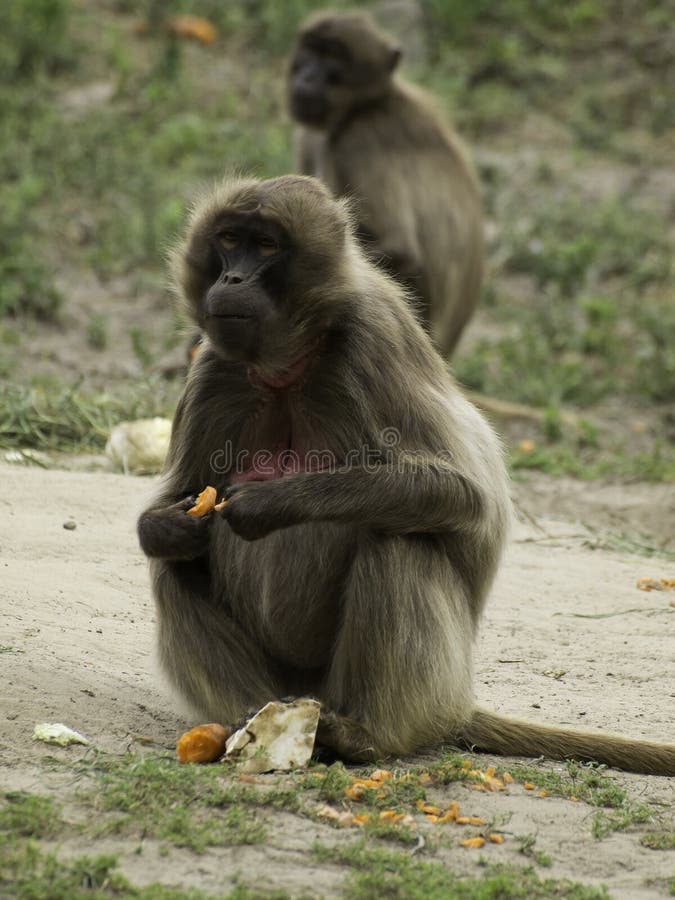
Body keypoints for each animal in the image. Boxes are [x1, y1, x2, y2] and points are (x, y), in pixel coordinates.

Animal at [137, 174, 675, 776]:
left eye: (267, 246)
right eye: (229, 240)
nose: (231, 279)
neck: (289, 364)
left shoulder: (374, 341)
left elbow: (462, 493)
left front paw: (267, 501)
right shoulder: (214, 372)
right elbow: (180, 507)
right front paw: (169, 524)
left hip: (406, 682)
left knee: (397, 540)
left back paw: (365, 737)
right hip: (293, 679)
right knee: (177, 566)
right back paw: (252, 721)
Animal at [287, 10, 484, 357]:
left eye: (333, 57)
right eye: (312, 49)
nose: (308, 77)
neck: (364, 106)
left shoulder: (358, 141)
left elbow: (400, 248)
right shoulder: (310, 137)